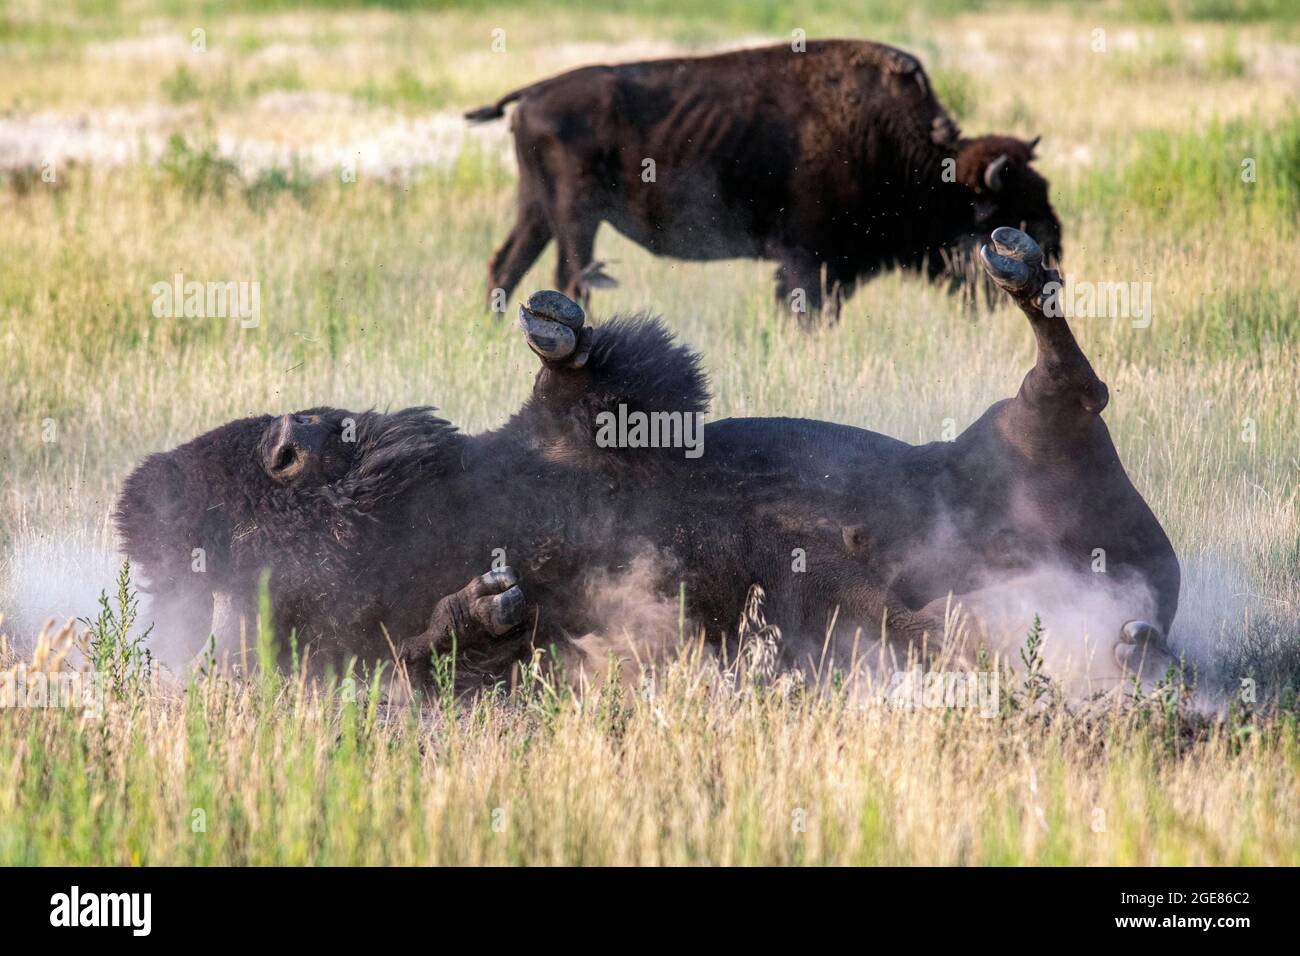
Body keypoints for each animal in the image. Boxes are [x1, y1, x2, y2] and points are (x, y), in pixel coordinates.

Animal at [117, 230, 1175, 692]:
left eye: (271, 443)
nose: (143, 484)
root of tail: (1153, 587)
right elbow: (439, 654)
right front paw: (487, 604)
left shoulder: (561, 434)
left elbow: (579, 378)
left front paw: (554, 322)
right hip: (1024, 471)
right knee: (1066, 405)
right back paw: (1111, 646)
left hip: (1012, 437)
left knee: (1066, 369)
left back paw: (1013, 254)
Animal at [467, 39, 1062, 319]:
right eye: (1005, 217)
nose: (1053, 258)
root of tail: (533, 92)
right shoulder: (810, 263)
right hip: (576, 216)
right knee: (570, 278)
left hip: (536, 209)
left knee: (506, 267)